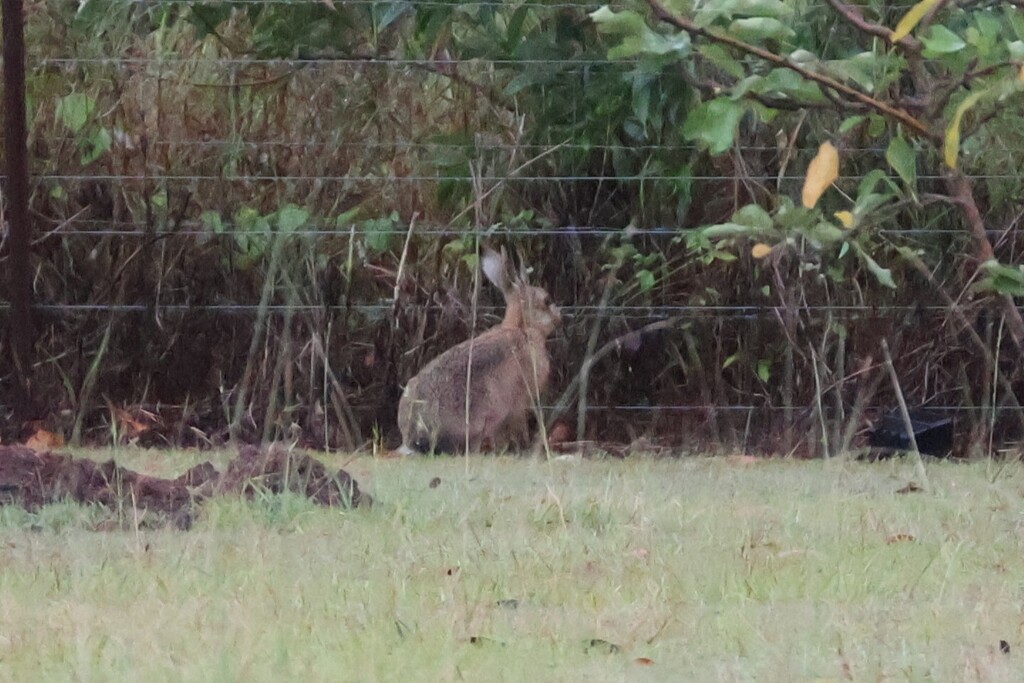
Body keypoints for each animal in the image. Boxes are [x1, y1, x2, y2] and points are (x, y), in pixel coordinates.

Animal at [397, 248, 562, 454]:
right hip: (479, 419)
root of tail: (416, 438)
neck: (523, 327)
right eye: (547, 300)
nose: (559, 317)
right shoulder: (518, 404)